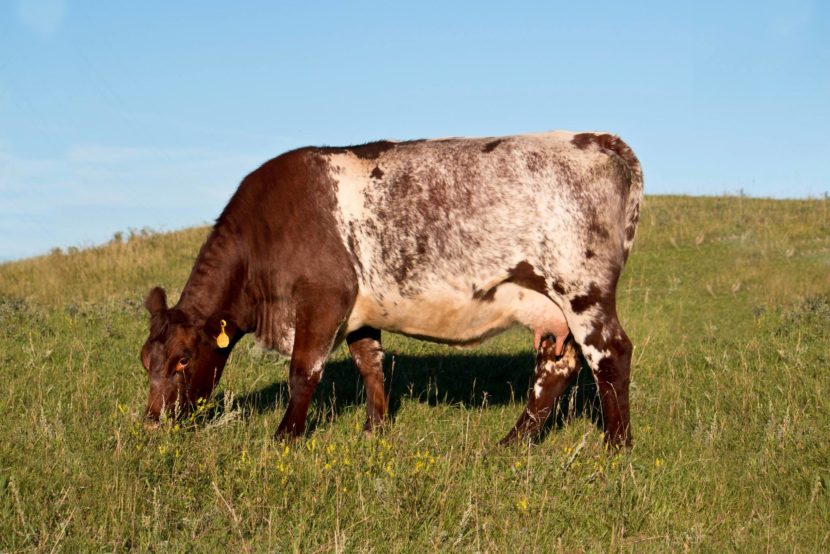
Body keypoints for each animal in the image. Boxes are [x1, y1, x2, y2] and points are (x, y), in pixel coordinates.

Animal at [139, 131, 643, 447]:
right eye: (146, 361)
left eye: (183, 358)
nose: (152, 425)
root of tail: (600, 140)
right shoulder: (361, 311)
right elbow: (371, 365)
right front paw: (374, 429)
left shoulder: (324, 297)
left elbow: (304, 370)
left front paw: (285, 436)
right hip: (553, 307)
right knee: (556, 368)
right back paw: (512, 443)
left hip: (583, 291)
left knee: (610, 354)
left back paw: (615, 446)